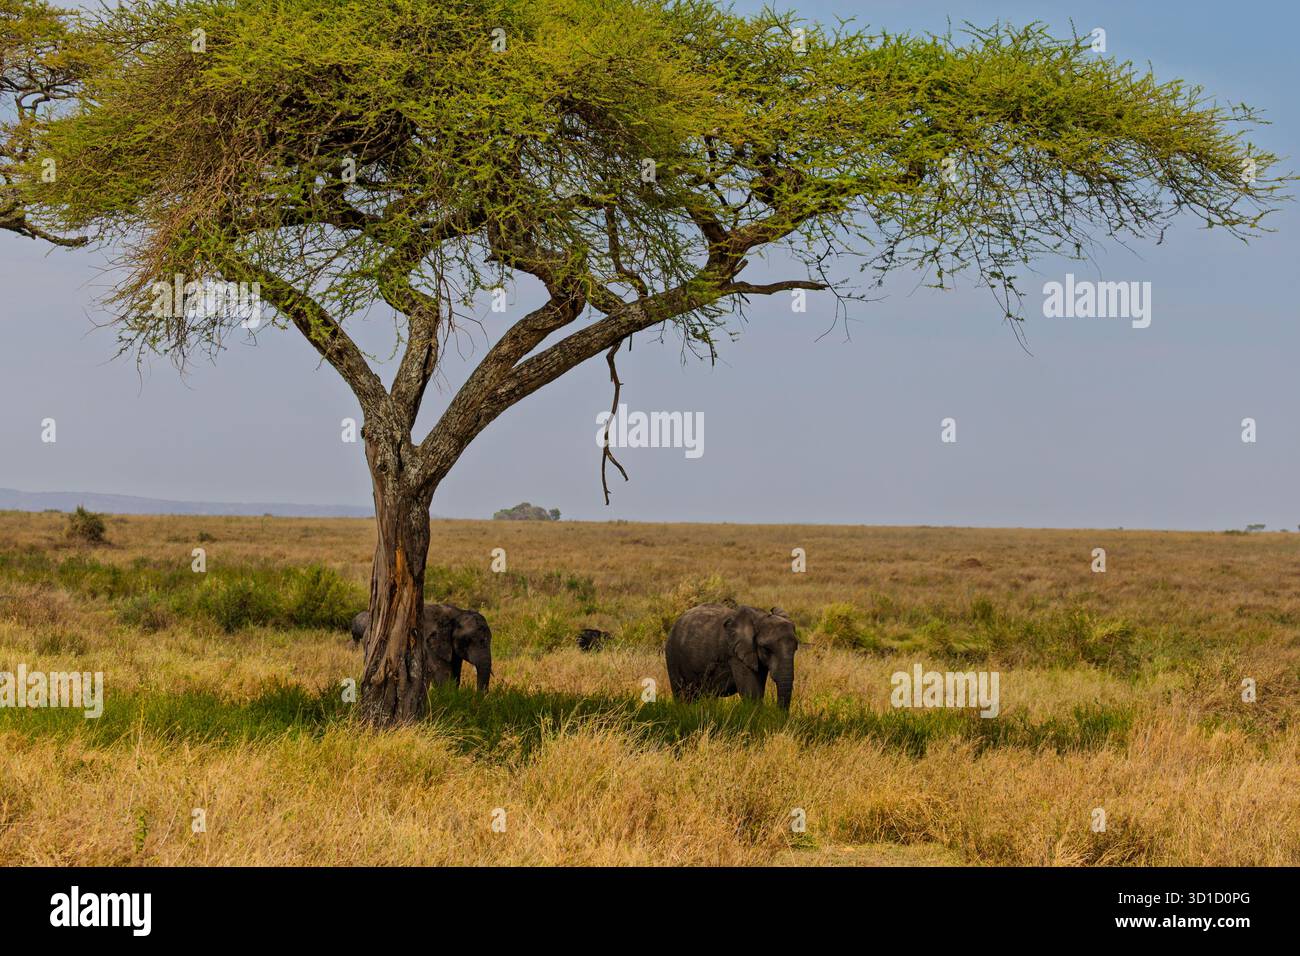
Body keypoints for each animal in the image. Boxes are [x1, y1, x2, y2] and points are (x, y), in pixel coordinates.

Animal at [665, 603, 797, 709]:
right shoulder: (735, 654)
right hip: (672, 653)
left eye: (796, 648)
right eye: (766, 649)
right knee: (680, 692)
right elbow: (752, 692)